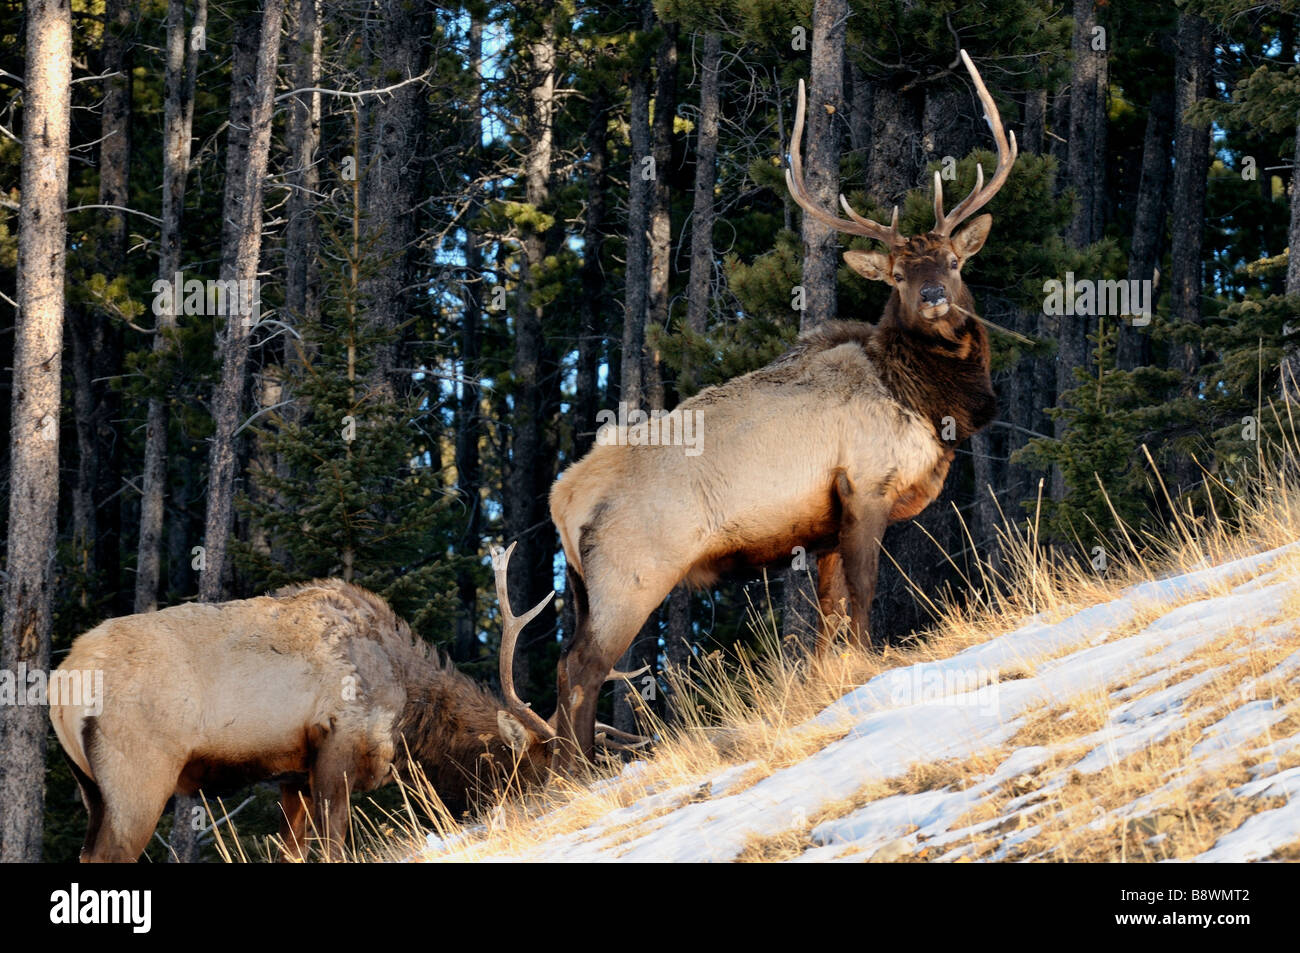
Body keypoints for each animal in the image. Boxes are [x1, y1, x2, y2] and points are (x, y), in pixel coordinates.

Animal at [49, 542, 561, 862]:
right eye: (534, 769)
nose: (556, 800)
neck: (405, 711)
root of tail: (58, 687)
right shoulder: (337, 747)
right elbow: (333, 846)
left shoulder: (293, 773)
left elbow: (290, 853)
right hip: (138, 774)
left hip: (91, 787)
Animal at [548, 50, 1012, 763]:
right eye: (898, 275)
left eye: (955, 262)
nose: (935, 297)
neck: (923, 400)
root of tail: (561, 499)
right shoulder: (864, 486)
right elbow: (864, 595)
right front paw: (869, 666)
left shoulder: (822, 525)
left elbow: (826, 620)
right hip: (632, 574)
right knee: (581, 668)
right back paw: (581, 771)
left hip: (582, 587)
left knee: (561, 665)